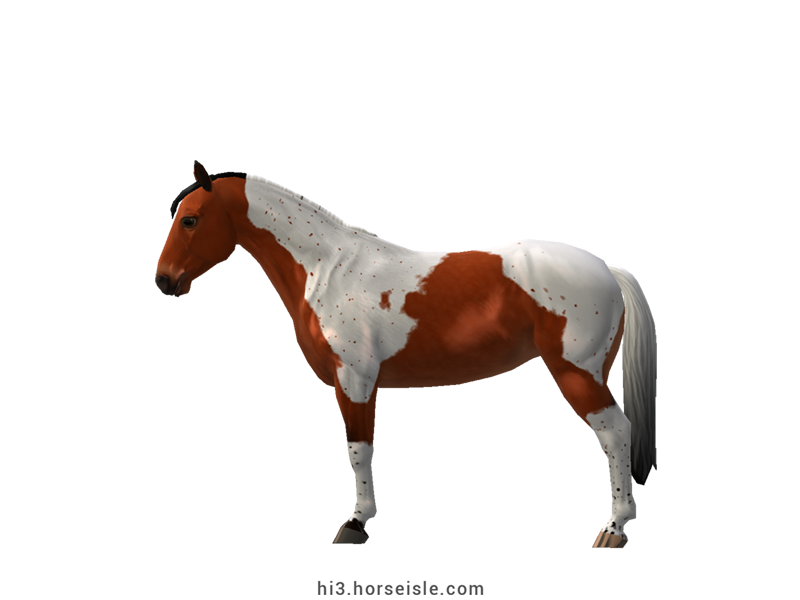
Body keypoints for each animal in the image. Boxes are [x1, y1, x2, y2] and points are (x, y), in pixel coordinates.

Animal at [156, 162, 656, 540]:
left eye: (190, 219)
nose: (164, 280)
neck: (327, 269)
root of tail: (607, 271)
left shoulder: (353, 376)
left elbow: (358, 446)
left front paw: (359, 519)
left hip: (579, 372)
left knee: (615, 433)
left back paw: (616, 526)